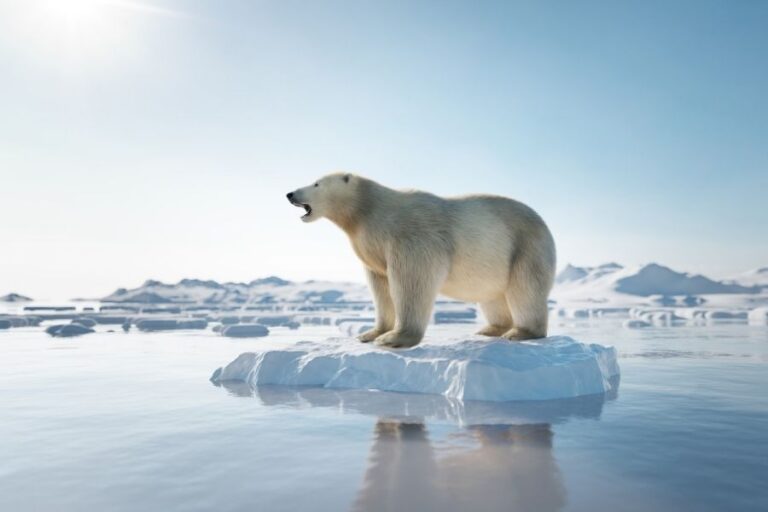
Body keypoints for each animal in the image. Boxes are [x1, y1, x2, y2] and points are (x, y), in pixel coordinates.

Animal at [287, 173, 556, 348]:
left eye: (316, 183)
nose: (290, 193)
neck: (369, 211)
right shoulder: (373, 248)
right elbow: (380, 287)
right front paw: (370, 333)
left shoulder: (411, 236)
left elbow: (412, 280)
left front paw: (394, 338)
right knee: (493, 296)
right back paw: (490, 329)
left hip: (526, 248)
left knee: (525, 289)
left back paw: (520, 332)